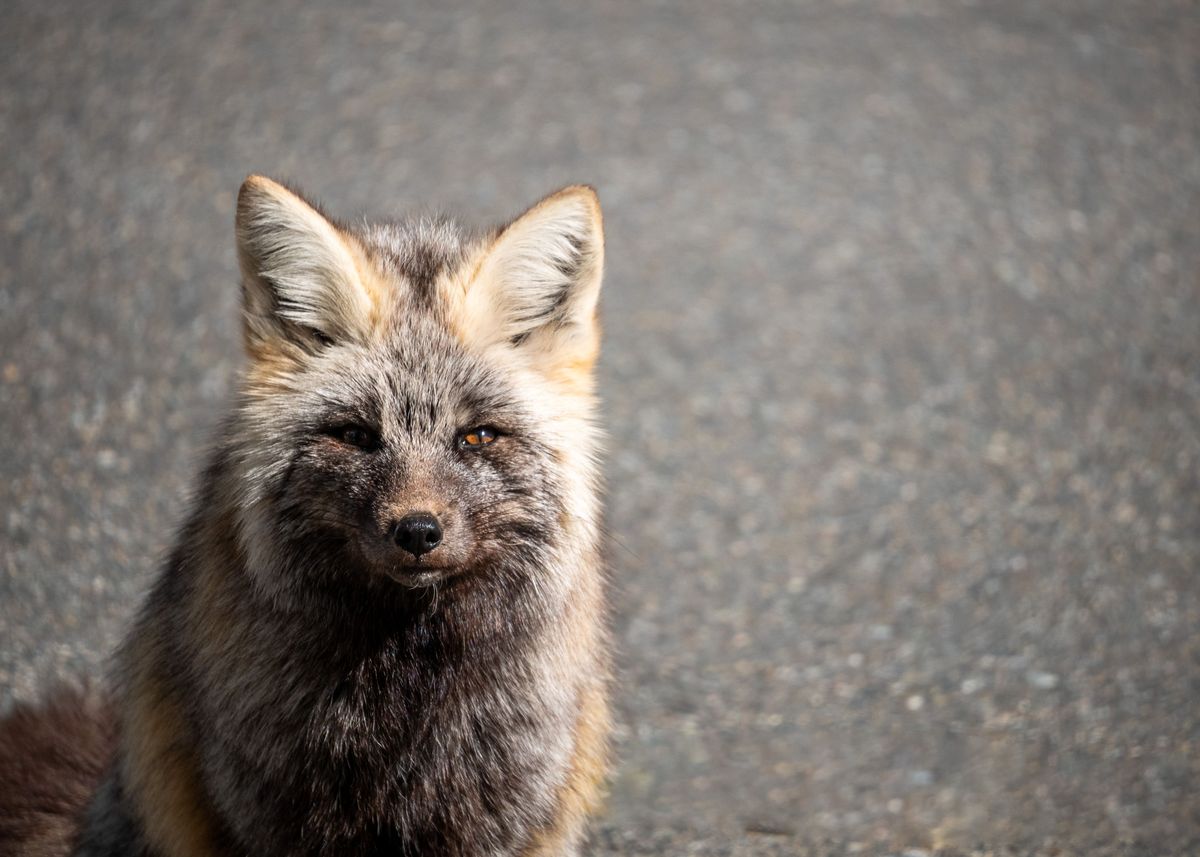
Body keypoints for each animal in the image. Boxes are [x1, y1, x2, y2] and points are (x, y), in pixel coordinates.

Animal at [0, 176, 612, 857]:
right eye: (356, 436)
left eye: (477, 437)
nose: (417, 532)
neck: (403, 700)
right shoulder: (262, 811)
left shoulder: (493, 815)